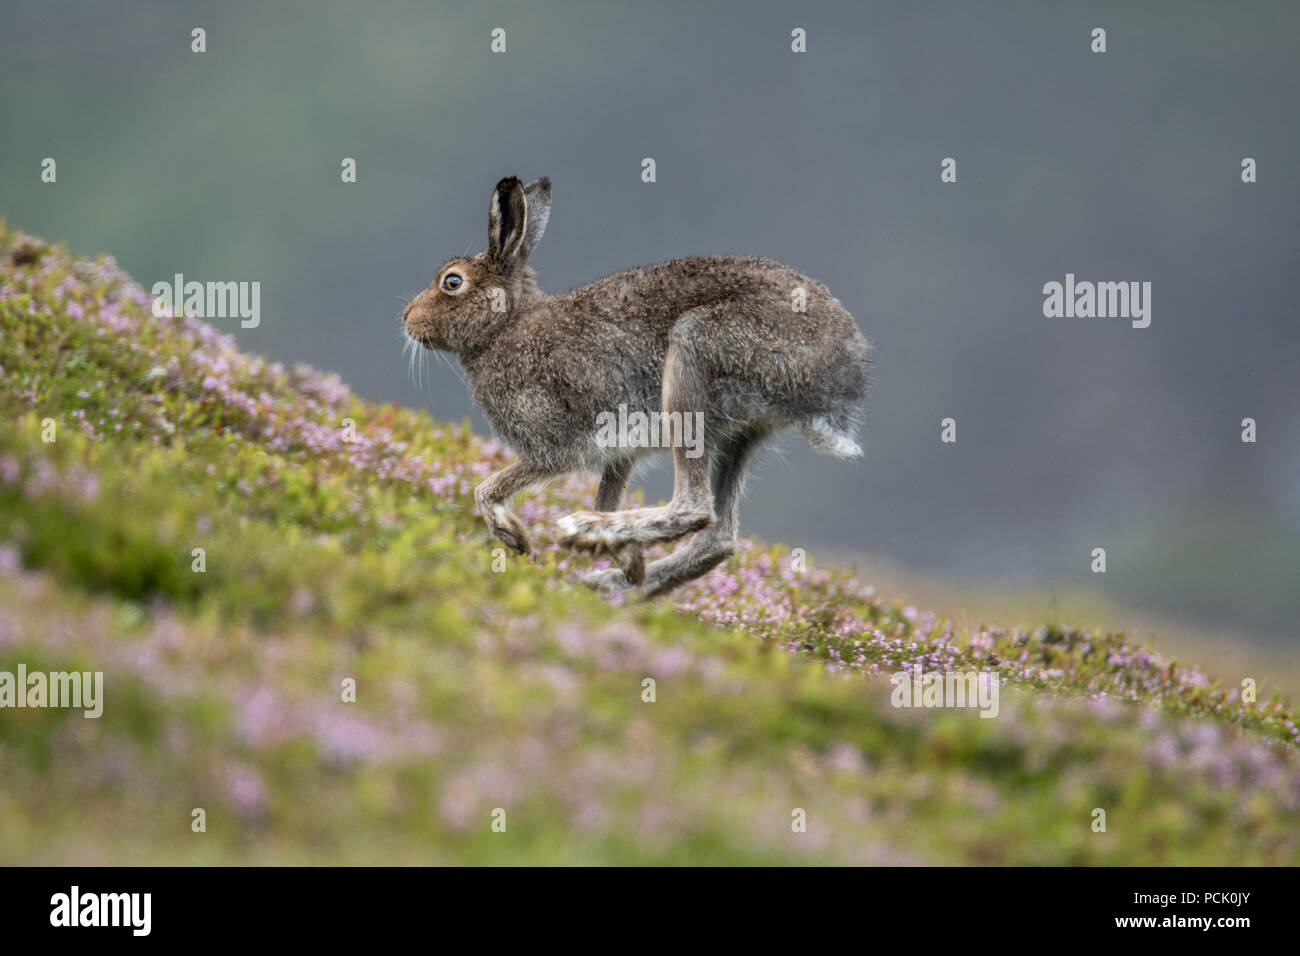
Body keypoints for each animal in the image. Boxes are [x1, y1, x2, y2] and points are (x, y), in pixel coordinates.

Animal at [403, 175, 870, 597]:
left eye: (452, 282)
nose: (408, 318)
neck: (503, 327)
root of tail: (844, 370)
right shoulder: (619, 454)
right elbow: (606, 495)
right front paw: (630, 563)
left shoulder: (549, 444)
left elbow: (489, 488)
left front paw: (515, 537)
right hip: (740, 432)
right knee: (718, 537)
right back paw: (612, 580)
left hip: (694, 359)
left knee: (693, 507)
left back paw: (582, 532)